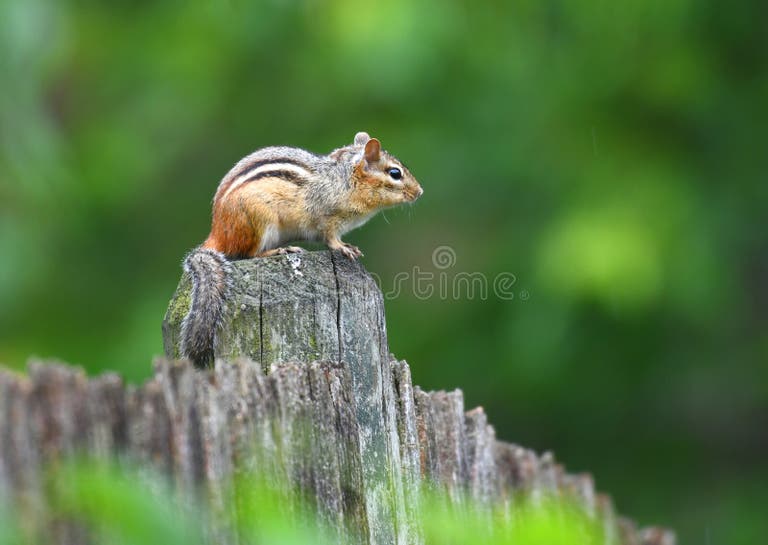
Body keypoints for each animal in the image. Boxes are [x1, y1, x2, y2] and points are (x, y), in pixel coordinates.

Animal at [179, 131, 423, 368]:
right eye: (395, 173)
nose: (420, 191)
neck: (345, 179)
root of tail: (217, 233)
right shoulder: (327, 219)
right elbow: (330, 238)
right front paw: (343, 248)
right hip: (259, 221)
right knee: (247, 254)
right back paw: (278, 251)